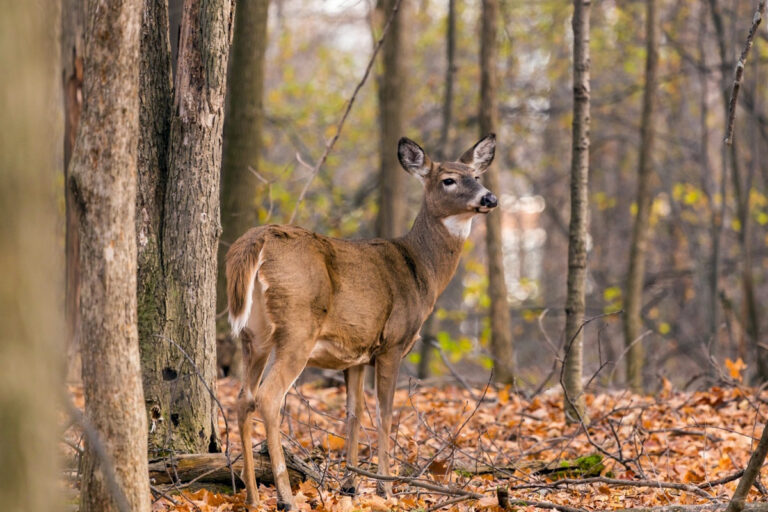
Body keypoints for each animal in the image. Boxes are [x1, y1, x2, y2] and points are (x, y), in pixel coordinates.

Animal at [226, 134, 499, 510]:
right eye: (448, 180)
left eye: (476, 175)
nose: (489, 198)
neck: (422, 270)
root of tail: (256, 241)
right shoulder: (393, 344)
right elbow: (385, 413)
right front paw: (386, 488)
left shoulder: (353, 354)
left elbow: (353, 413)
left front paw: (351, 485)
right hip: (297, 328)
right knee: (268, 397)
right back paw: (285, 498)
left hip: (254, 336)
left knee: (243, 398)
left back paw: (253, 497)